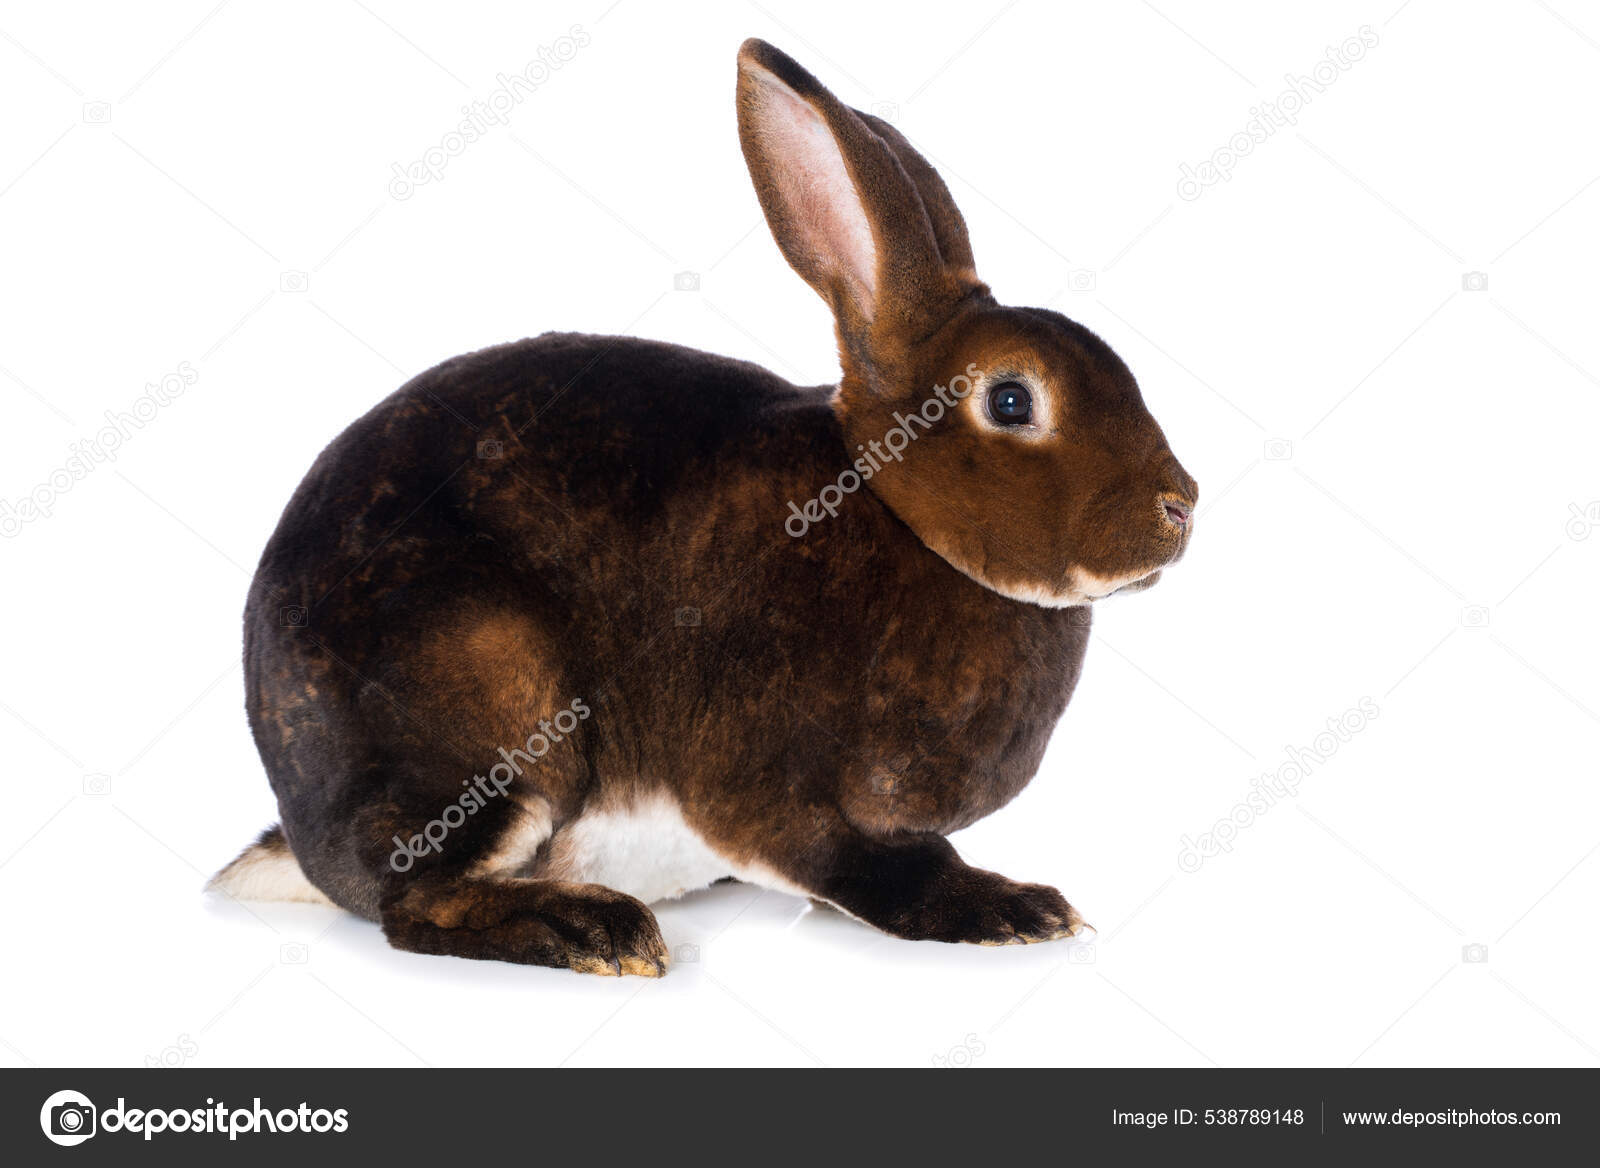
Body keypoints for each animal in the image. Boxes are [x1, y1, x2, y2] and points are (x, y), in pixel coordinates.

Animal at [210, 38, 1197, 976]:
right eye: (1010, 401)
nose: (1180, 506)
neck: (895, 516)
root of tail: (298, 826)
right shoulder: (765, 781)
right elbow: (858, 860)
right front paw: (1011, 909)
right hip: (489, 708)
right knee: (420, 903)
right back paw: (594, 930)